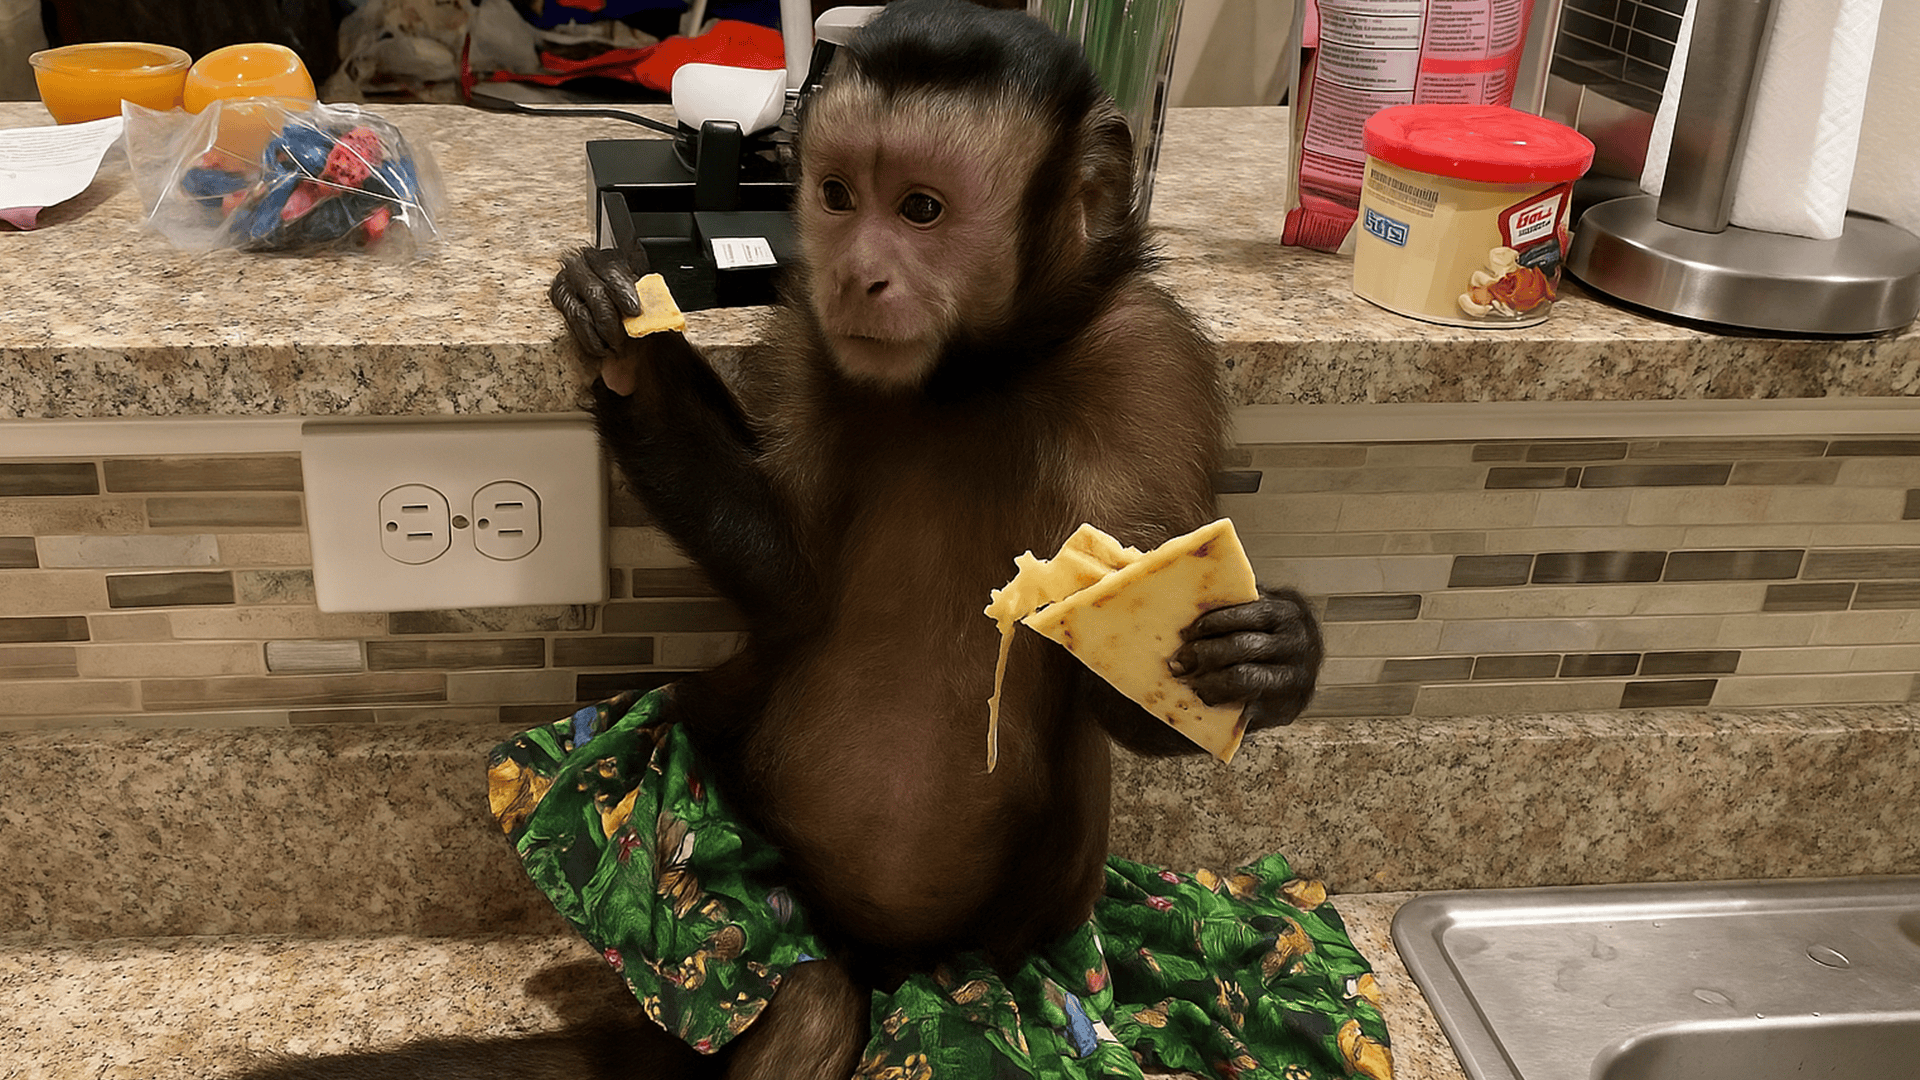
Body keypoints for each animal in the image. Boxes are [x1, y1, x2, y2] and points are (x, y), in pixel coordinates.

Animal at [226, 2, 1323, 1077]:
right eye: (836, 197)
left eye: (919, 211)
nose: (858, 274)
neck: (970, 378)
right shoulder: (805, 326)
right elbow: (788, 581)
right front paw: (635, 351)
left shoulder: (1151, 366)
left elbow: (1128, 672)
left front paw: (1266, 660)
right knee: (802, 989)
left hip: (993, 971)